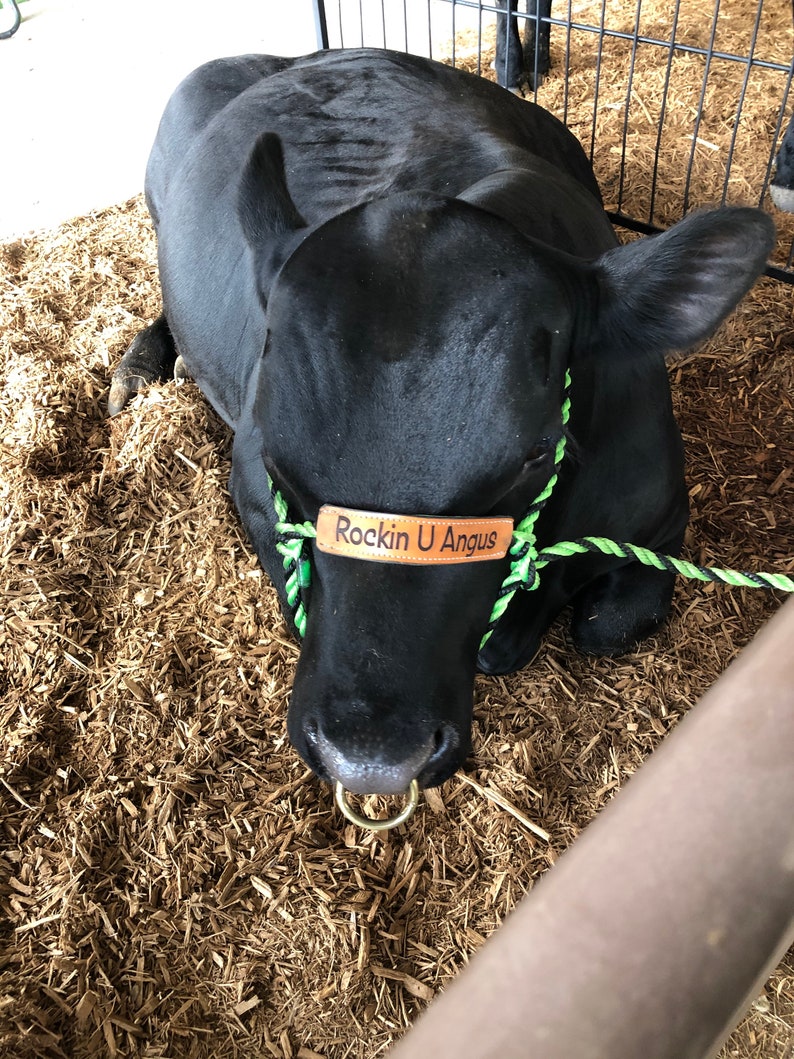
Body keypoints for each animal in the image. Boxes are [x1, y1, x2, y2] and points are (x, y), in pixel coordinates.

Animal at [109, 48, 773, 800]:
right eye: (278, 458)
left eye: (536, 456)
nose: (370, 756)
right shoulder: (251, 487)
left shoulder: (661, 517)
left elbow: (607, 625)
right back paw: (138, 368)